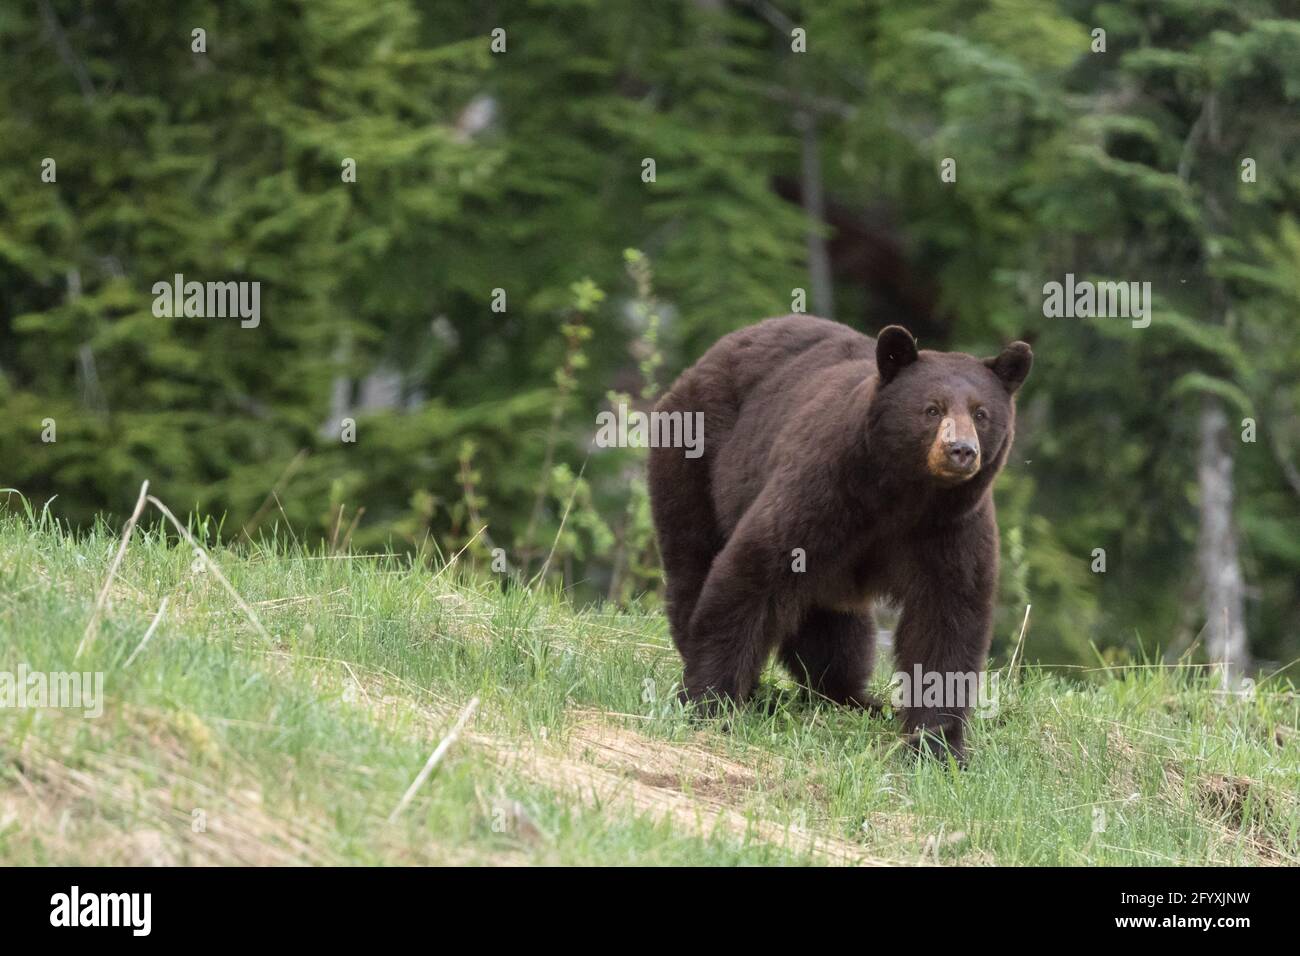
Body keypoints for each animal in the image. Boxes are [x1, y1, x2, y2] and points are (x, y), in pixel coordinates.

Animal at [647, 315, 1032, 762]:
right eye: (932, 409)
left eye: (981, 412)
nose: (961, 450)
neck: (904, 494)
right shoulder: (828, 489)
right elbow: (754, 571)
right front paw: (710, 701)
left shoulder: (951, 527)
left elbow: (948, 619)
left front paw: (936, 745)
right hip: (696, 460)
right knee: (693, 562)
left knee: (834, 629)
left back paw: (853, 699)